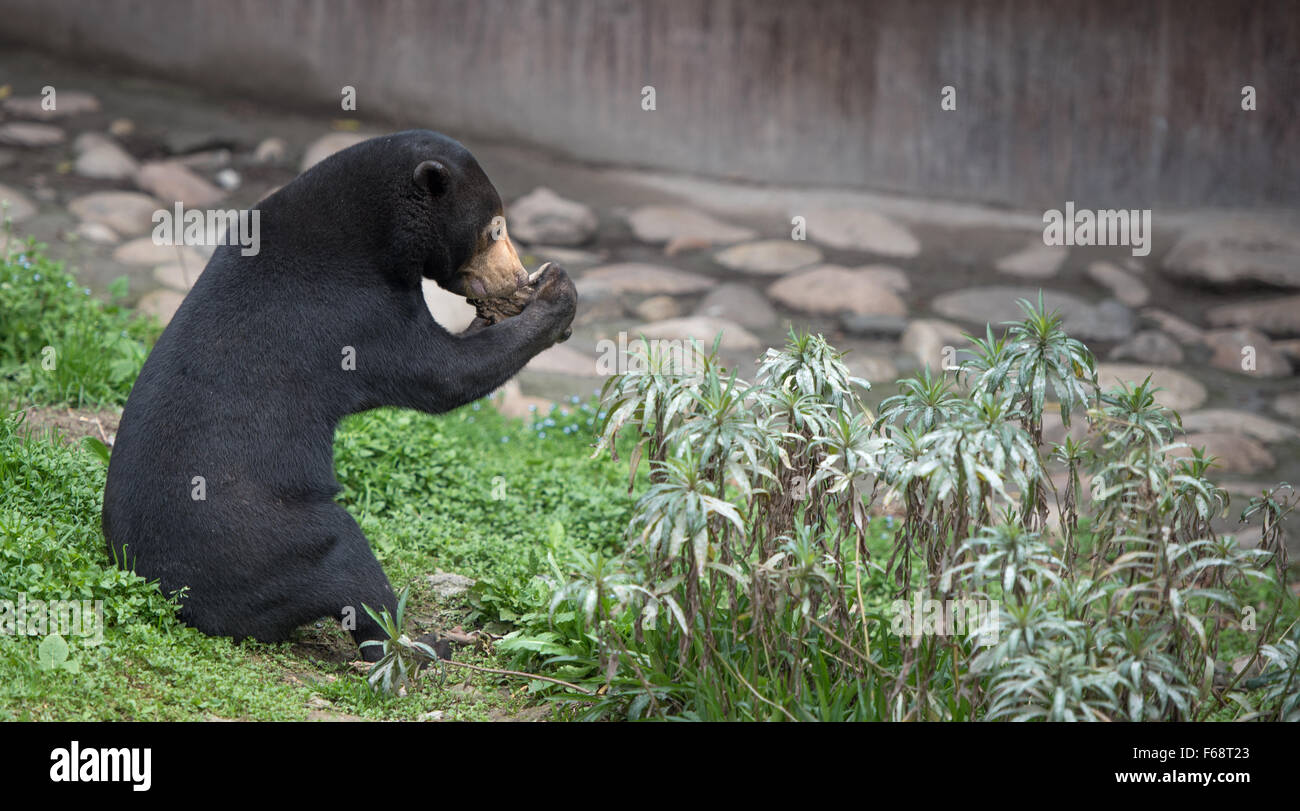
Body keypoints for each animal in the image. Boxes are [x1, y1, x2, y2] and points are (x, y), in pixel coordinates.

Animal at [101, 130, 577, 662]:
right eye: (494, 229)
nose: (514, 276)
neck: (371, 231)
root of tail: (179, 600)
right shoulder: (353, 312)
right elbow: (442, 374)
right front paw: (556, 294)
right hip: (271, 539)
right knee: (349, 566)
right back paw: (419, 646)